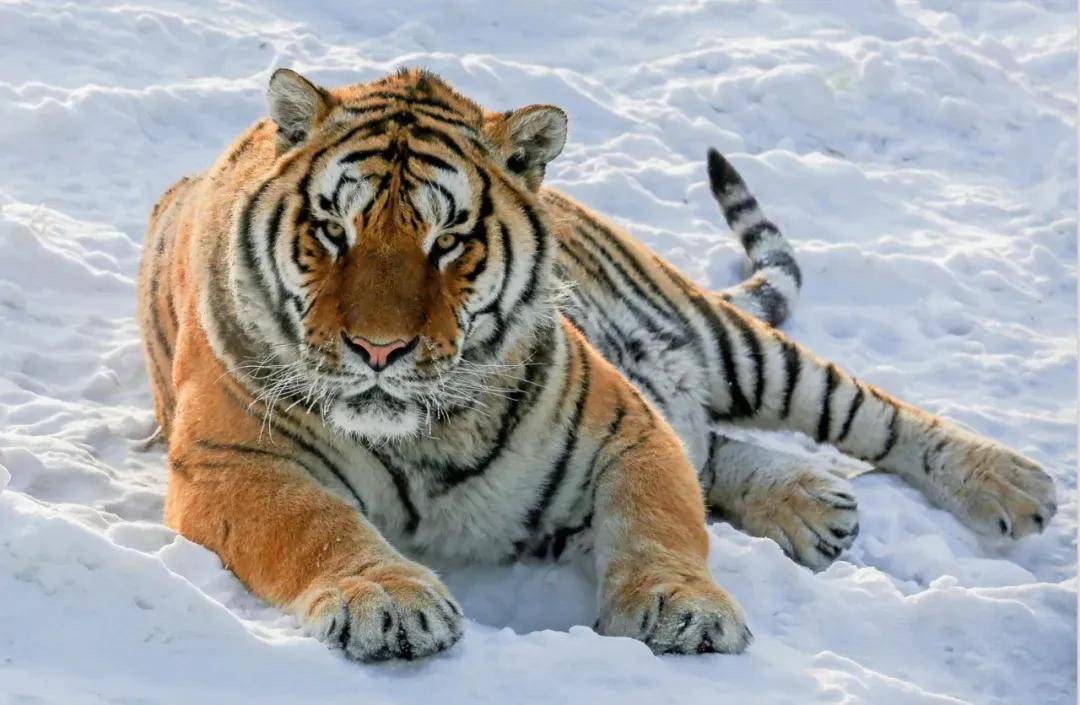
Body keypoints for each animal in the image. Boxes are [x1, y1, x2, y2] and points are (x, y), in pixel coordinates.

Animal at [138, 67, 1057, 661]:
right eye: (334, 229)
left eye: (449, 240)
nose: (378, 349)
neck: (422, 435)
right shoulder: (232, 460)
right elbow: (315, 524)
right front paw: (389, 600)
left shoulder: (626, 425)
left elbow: (661, 518)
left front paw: (681, 605)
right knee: (713, 445)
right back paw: (810, 503)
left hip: (729, 343)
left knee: (871, 411)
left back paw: (1015, 484)